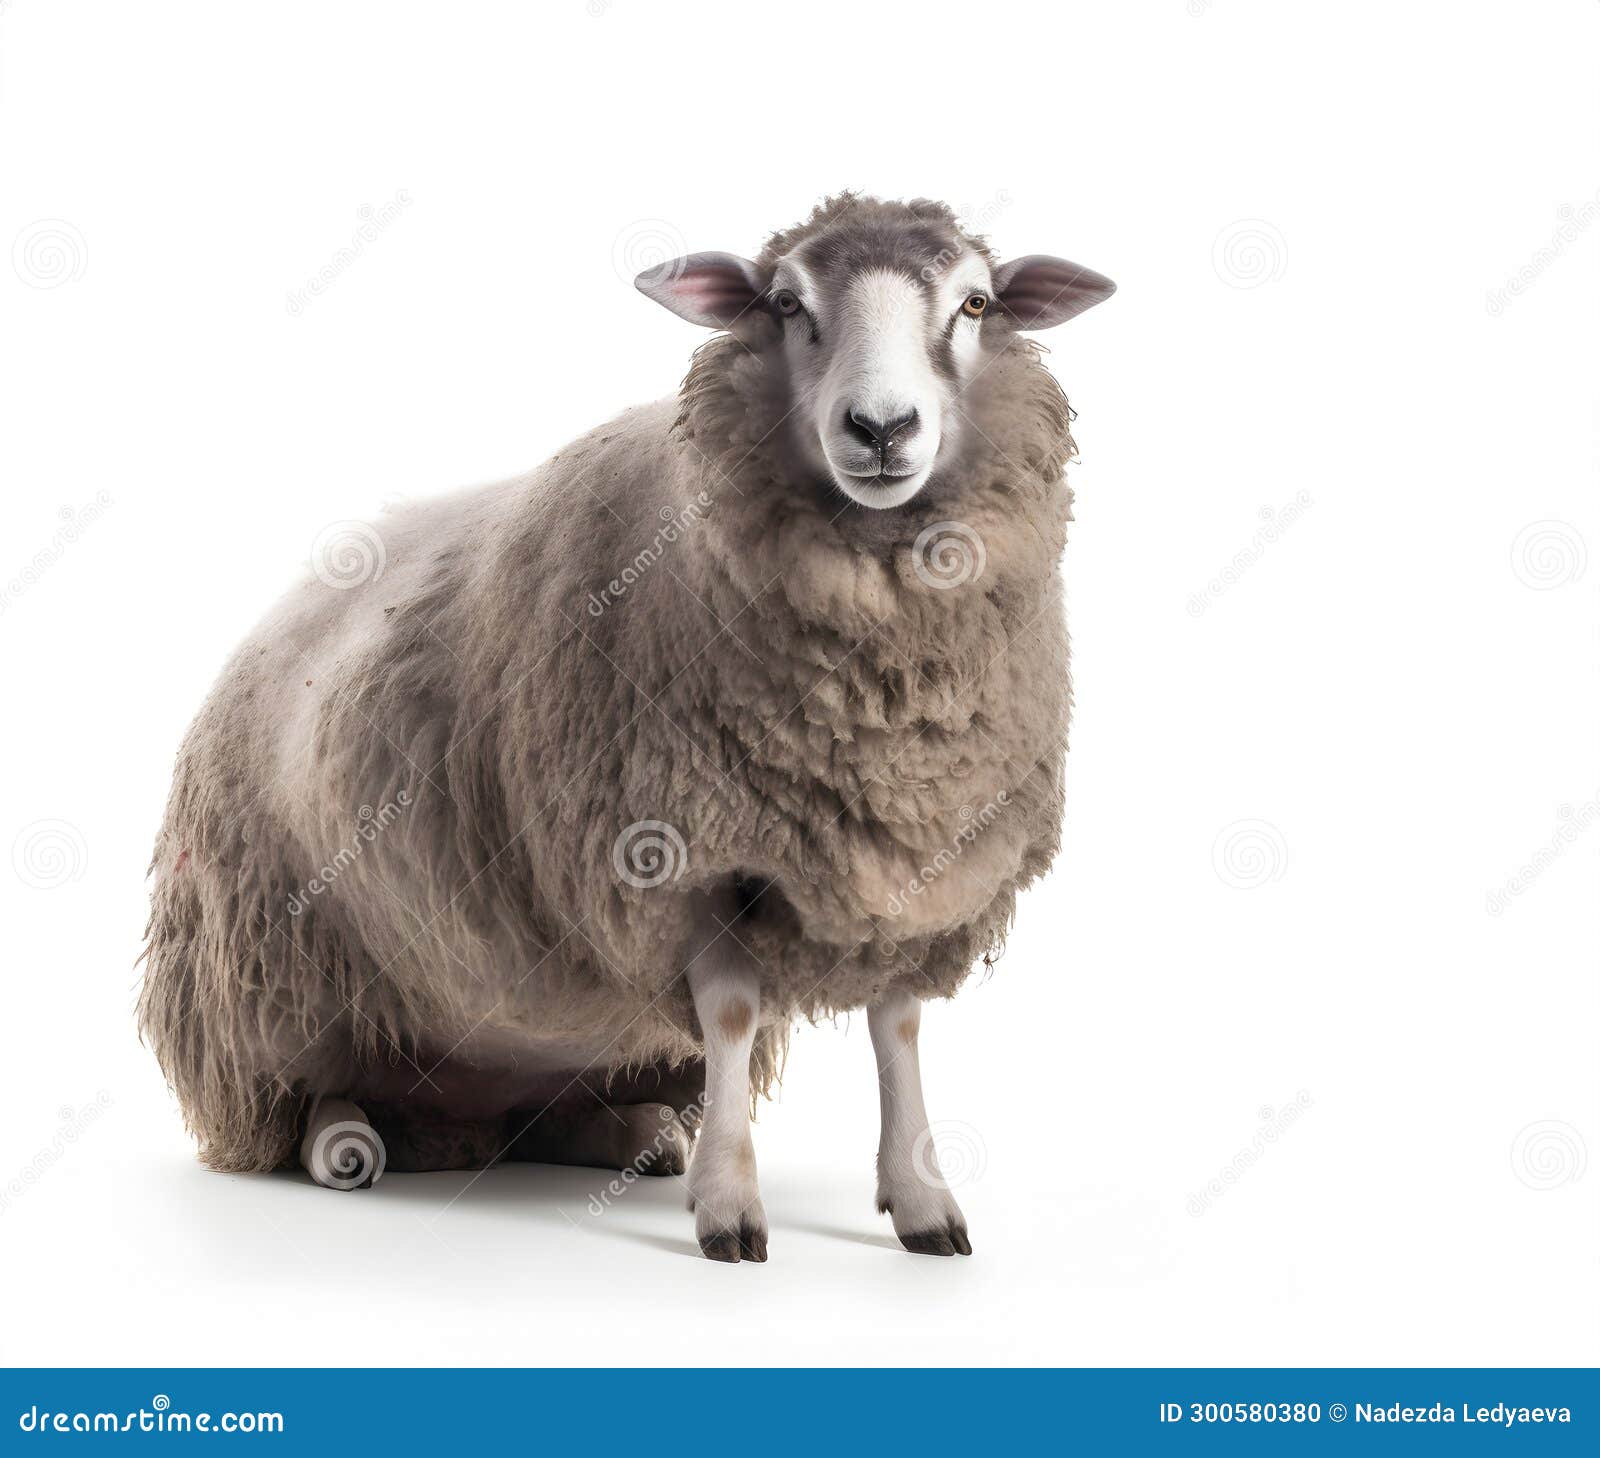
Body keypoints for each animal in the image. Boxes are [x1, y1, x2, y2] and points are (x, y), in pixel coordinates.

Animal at [138, 193, 1116, 1261]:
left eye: (976, 302)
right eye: (785, 302)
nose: (883, 427)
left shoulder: (916, 866)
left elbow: (896, 1028)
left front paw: (921, 1201)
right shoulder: (681, 858)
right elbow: (727, 1017)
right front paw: (729, 1209)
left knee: (550, 1113)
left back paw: (637, 1136)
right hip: (277, 981)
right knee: (311, 1098)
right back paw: (347, 1144)